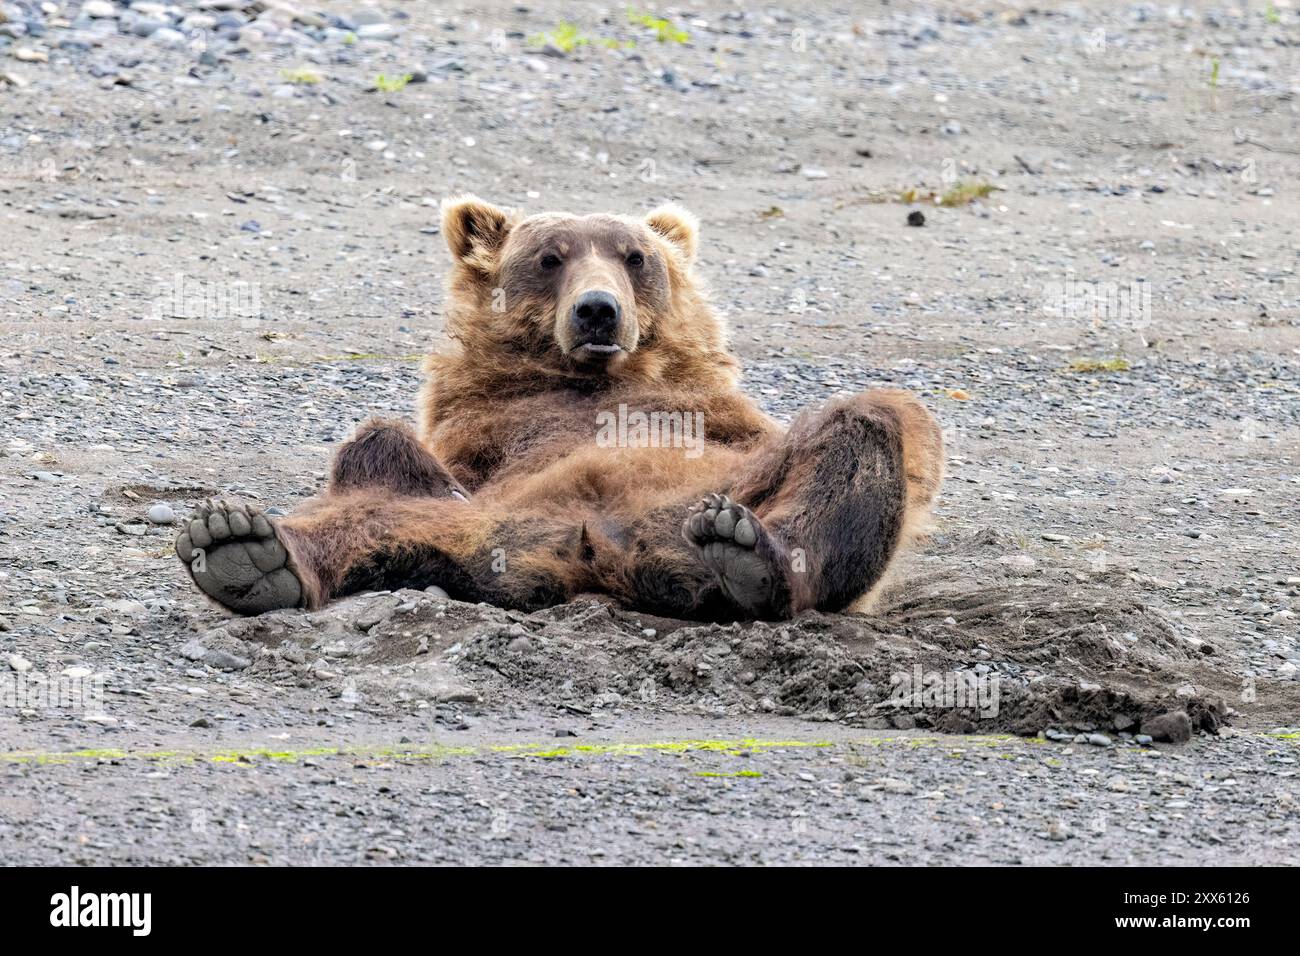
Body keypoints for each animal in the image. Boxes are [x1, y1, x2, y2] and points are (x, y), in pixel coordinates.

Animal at [174, 196, 944, 622]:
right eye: (550, 256)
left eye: (634, 256)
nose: (598, 309)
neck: (592, 379)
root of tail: (586, 553)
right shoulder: (479, 430)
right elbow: (403, 446)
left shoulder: (723, 419)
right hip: (448, 517)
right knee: (369, 477)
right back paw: (241, 548)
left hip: (722, 494)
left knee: (859, 430)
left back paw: (749, 554)